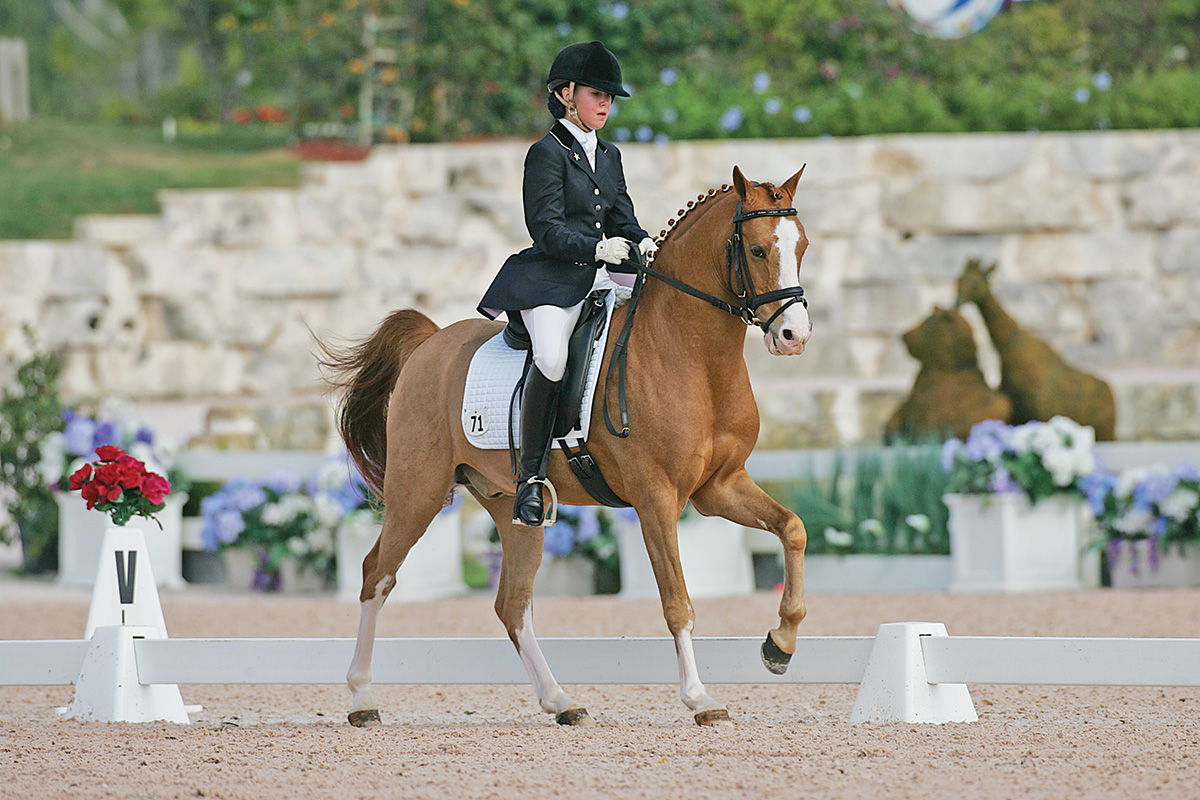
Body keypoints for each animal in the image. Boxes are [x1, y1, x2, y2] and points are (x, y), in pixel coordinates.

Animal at [319, 165, 813, 728]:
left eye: (802, 246)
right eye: (756, 250)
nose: (795, 335)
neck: (694, 357)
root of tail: (430, 341)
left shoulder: (720, 487)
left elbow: (792, 529)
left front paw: (779, 645)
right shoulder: (656, 497)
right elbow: (676, 602)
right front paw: (700, 698)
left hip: (510, 507)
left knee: (512, 603)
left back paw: (560, 700)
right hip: (417, 491)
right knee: (377, 575)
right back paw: (362, 698)